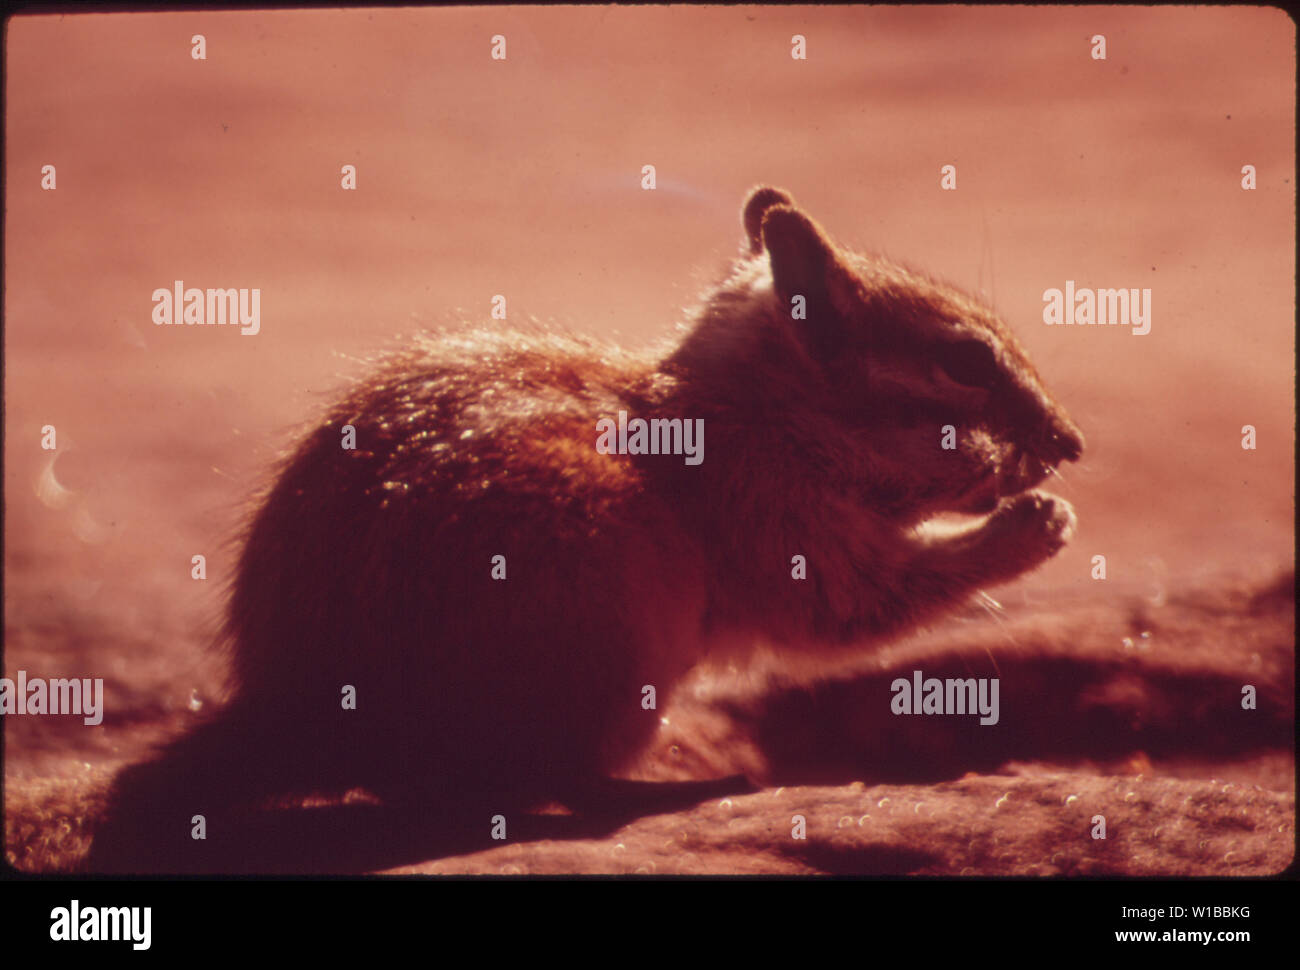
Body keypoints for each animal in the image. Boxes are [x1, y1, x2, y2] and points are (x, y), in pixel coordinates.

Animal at [87, 186, 1083, 871]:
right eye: (966, 361)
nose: (1071, 444)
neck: (747, 411)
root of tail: (290, 712)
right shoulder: (784, 533)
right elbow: (858, 605)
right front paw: (1032, 523)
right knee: (540, 783)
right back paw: (675, 786)